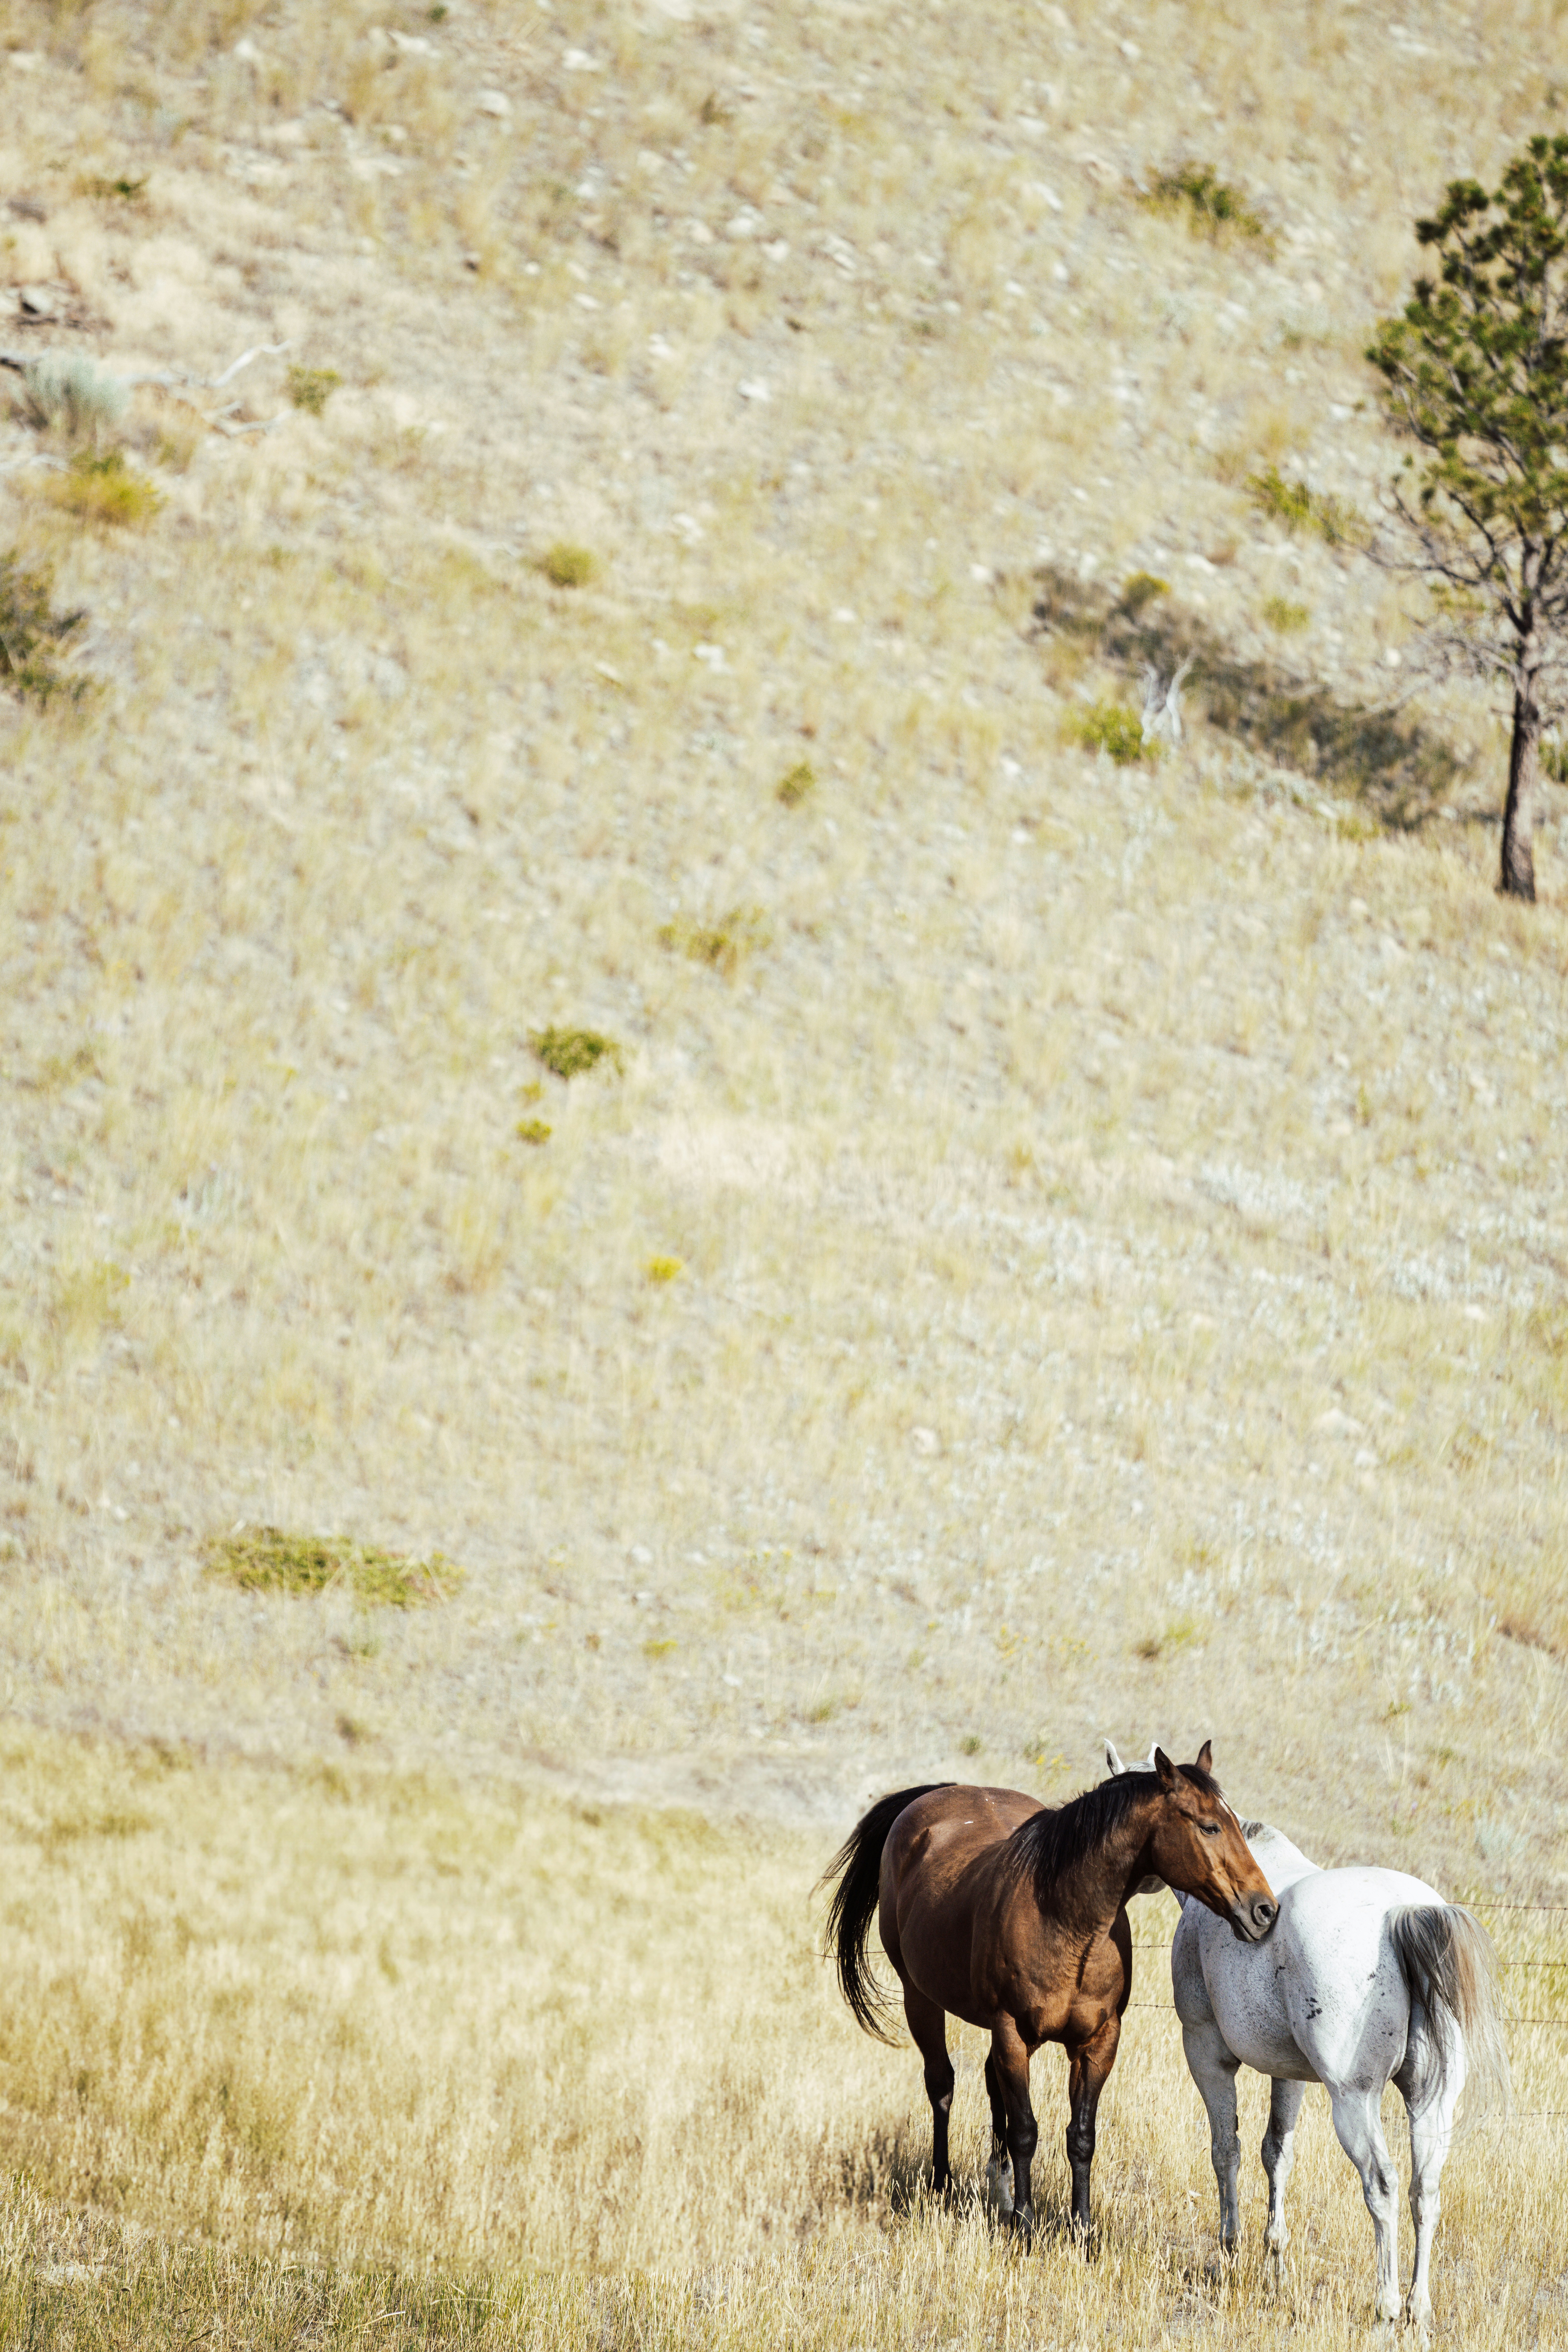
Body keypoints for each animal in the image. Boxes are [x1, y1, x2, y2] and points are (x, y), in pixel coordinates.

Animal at [821, 1745, 1278, 2241]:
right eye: (1209, 1826)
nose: (1265, 1910)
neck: (1065, 1920)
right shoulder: (1012, 2032)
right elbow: (1025, 2130)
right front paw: (1024, 2224)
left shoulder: (1097, 2041)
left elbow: (1081, 2136)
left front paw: (1082, 2230)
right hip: (920, 1999)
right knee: (942, 2084)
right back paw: (943, 2183)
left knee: (990, 2083)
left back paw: (999, 2189)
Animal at [1163, 1807, 1508, 2334]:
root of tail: (1402, 1910)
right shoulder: (1287, 2075)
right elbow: (1276, 2153)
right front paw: (1276, 2266)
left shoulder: (1206, 2053)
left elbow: (1227, 2151)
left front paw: (1231, 2253)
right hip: (1430, 2104)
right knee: (1424, 2189)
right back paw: (1418, 2305)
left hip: (1353, 2101)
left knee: (1383, 2184)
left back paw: (1387, 2304)